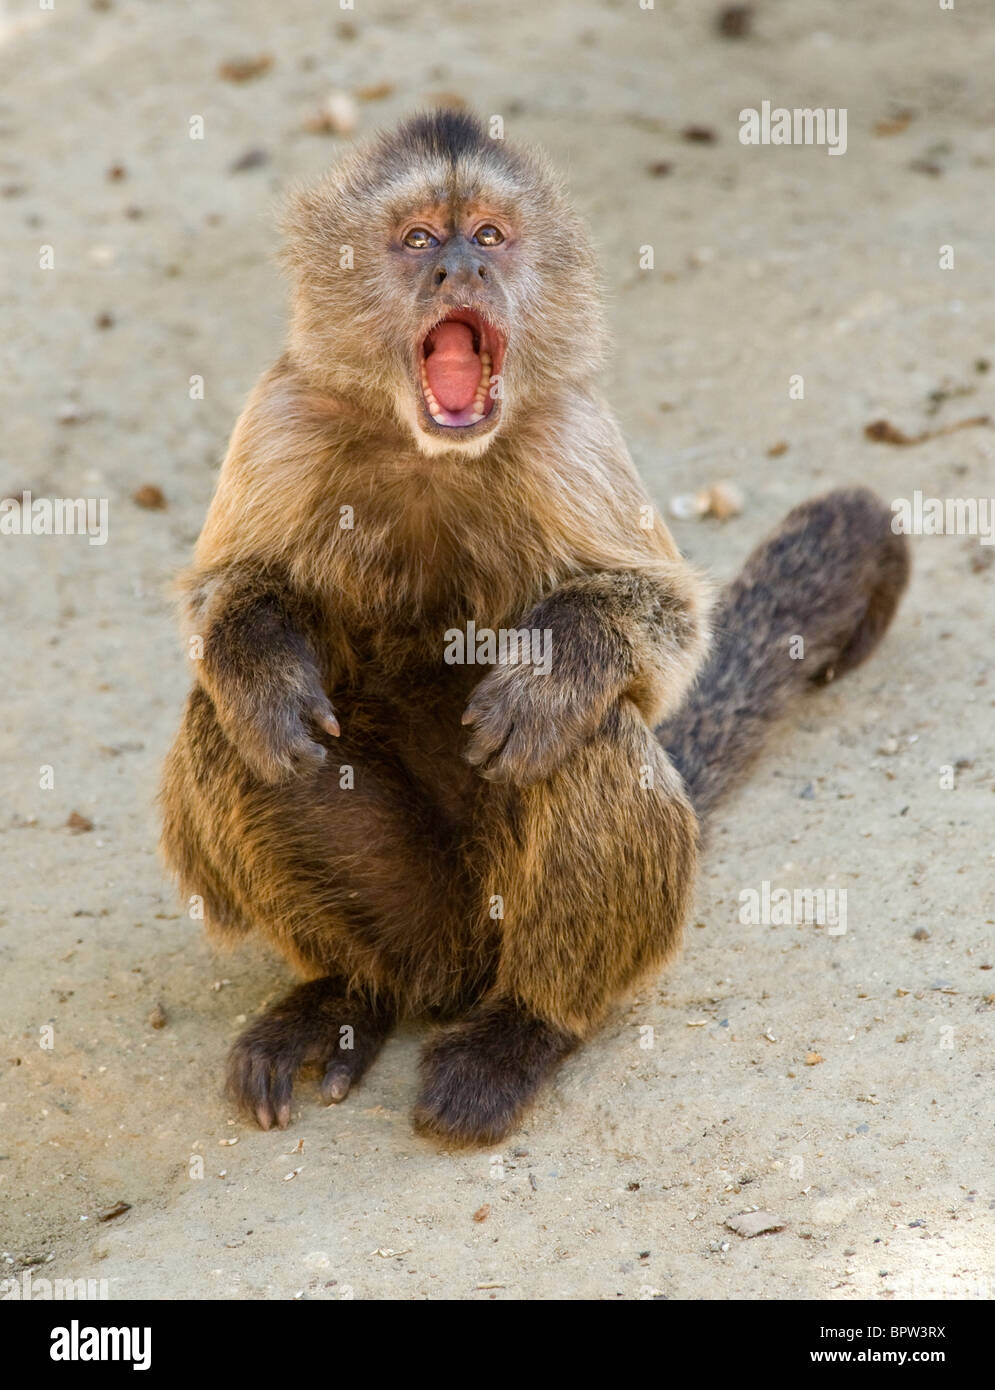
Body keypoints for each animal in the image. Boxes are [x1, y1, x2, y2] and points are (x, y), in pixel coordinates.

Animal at [159, 110, 909, 1146]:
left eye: (489, 235)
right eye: (419, 240)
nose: (459, 273)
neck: (430, 449)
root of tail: (448, 967)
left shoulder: (570, 435)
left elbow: (664, 631)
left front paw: (552, 677)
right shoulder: (281, 415)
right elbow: (221, 601)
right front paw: (265, 672)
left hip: (498, 918)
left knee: (594, 743)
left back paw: (526, 1027)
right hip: (409, 904)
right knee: (225, 732)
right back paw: (348, 992)